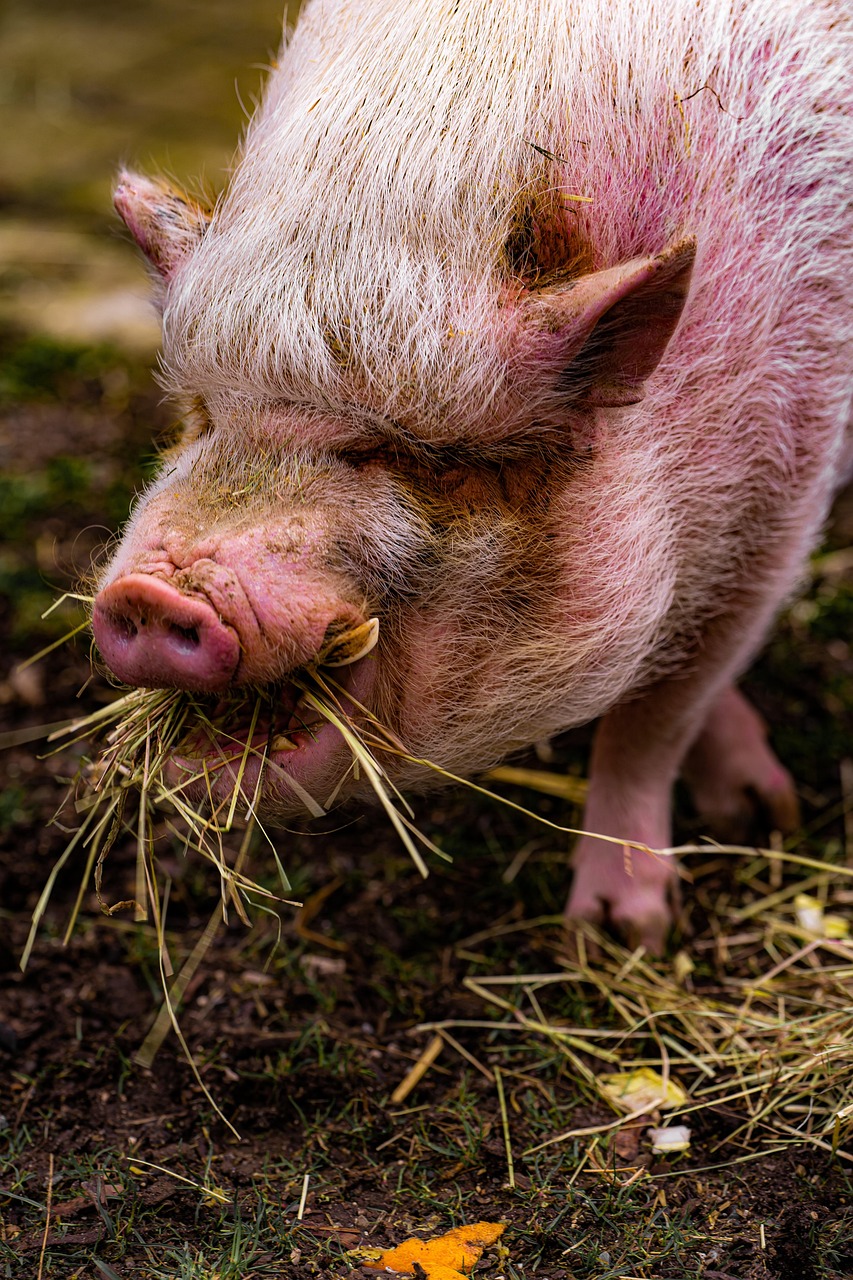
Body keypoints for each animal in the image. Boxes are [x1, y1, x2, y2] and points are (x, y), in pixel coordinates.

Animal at [92, 0, 852, 951]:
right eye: (204, 418)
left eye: (409, 456)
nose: (153, 595)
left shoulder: (783, 497)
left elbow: (658, 712)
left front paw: (617, 936)